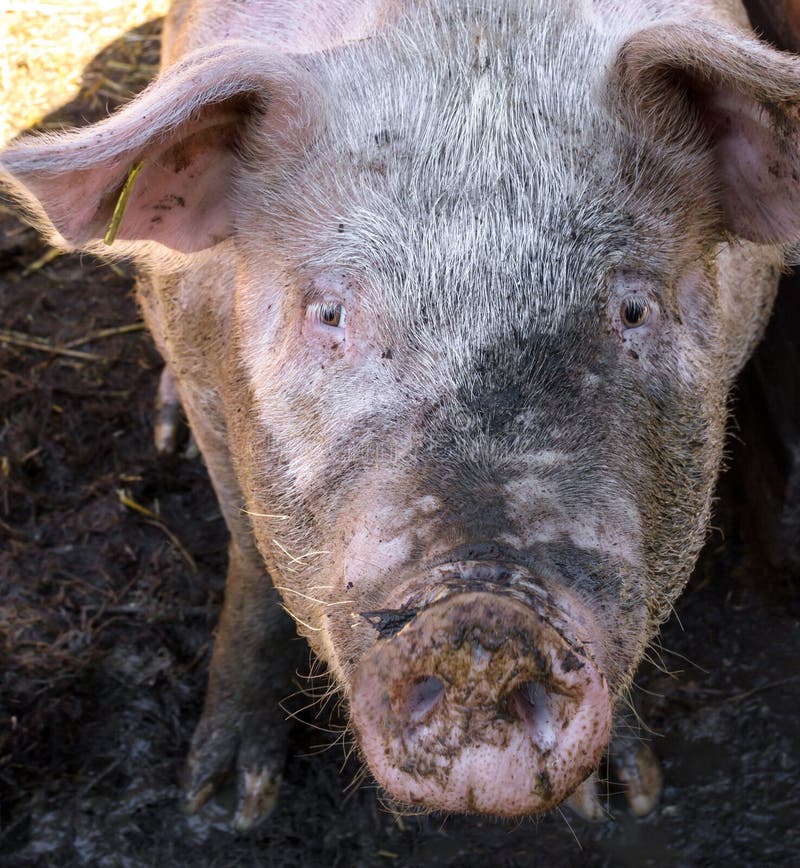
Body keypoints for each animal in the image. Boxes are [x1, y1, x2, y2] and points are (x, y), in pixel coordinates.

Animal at [1, 0, 798, 831]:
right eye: (329, 312)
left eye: (635, 309)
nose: (485, 621)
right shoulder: (202, 378)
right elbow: (251, 565)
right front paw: (223, 806)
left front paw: (627, 798)